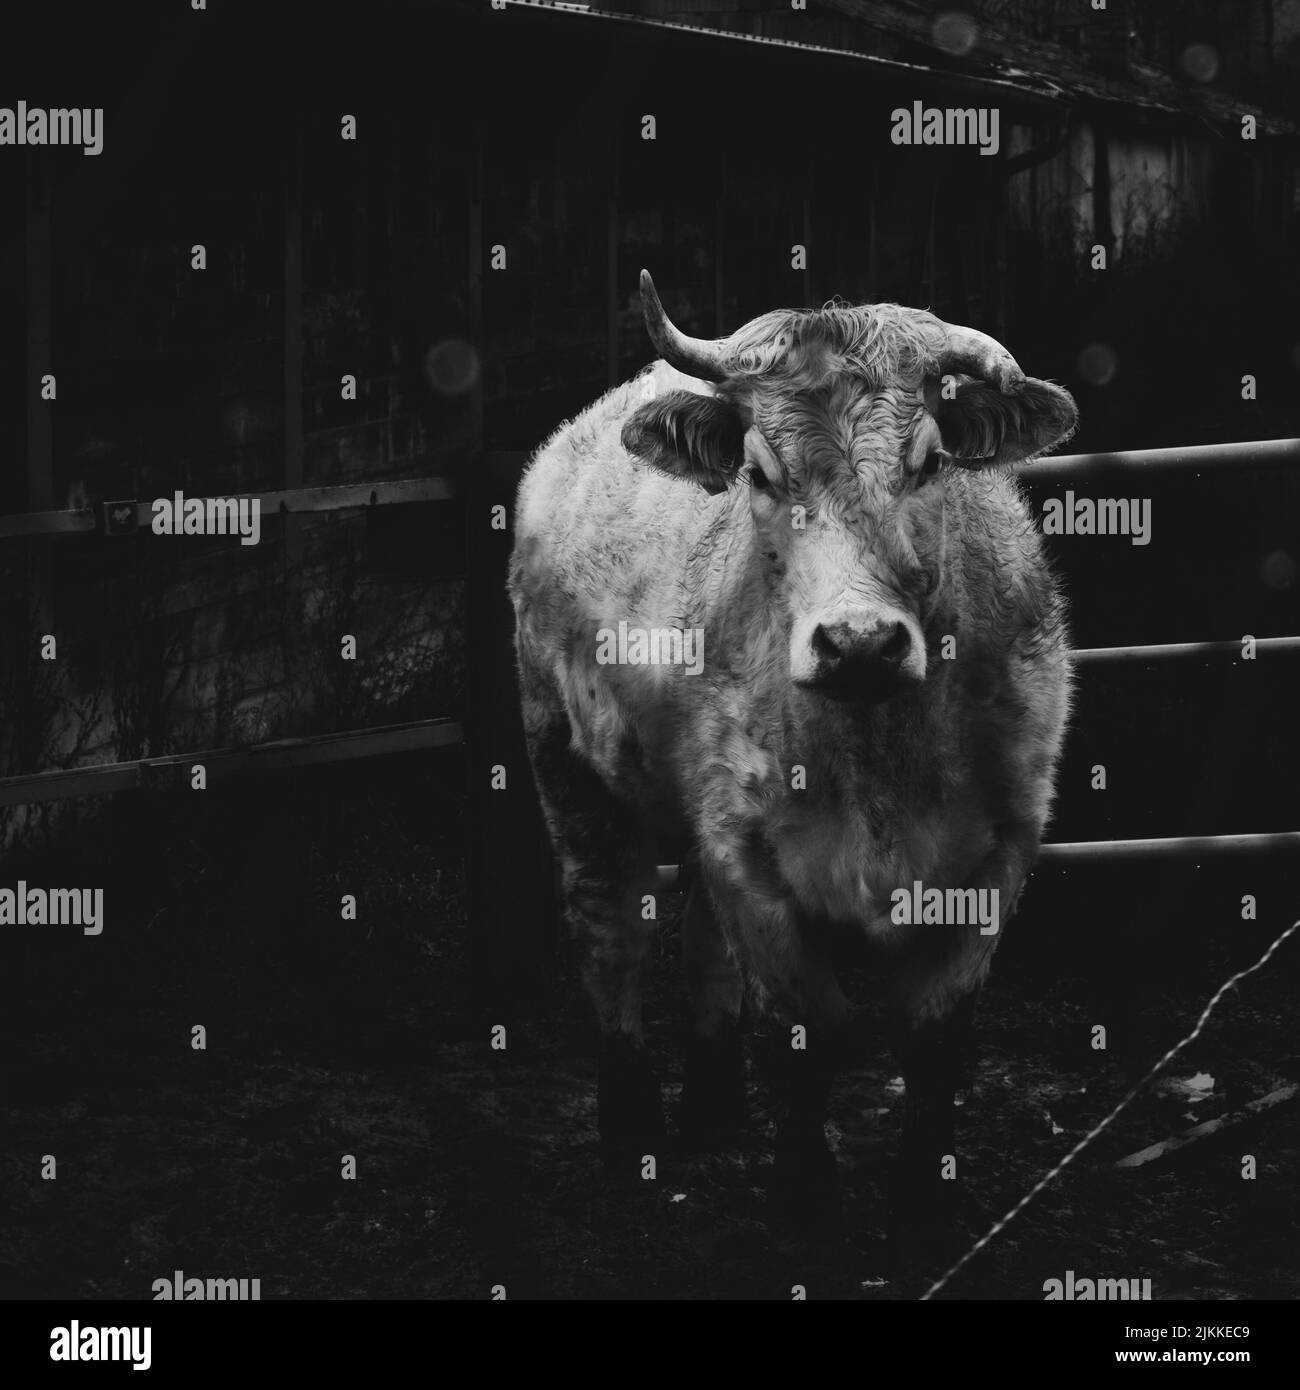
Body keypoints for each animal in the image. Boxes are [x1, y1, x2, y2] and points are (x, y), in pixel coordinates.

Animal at [509, 270, 1076, 1240]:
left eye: (929, 462)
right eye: (761, 474)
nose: (859, 644)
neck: (877, 751)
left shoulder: (1000, 847)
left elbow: (933, 1035)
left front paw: (925, 1192)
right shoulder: (754, 860)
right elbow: (804, 1027)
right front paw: (804, 1190)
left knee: (699, 936)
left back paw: (714, 1104)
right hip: (569, 767)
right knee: (610, 928)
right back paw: (632, 1122)